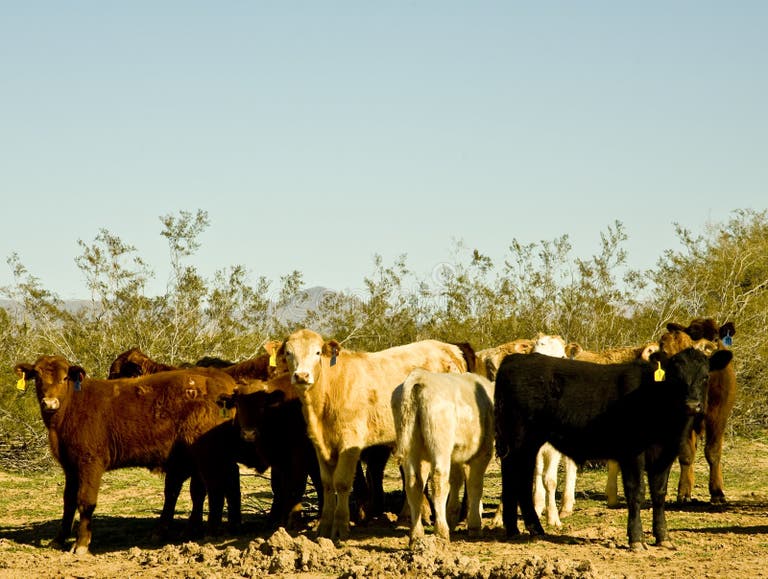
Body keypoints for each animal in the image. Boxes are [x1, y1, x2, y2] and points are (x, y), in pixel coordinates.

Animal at [14, 356, 240, 554]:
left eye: (64, 378)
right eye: (38, 377)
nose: (50, 403)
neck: (69, 410)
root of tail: (224, 381)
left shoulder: (90, 462)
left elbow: (85, 501)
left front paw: (81, 543)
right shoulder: (70, 466)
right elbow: (68, 501)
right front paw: (59, 539)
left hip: (208, 455)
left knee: (215, 488)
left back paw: (211, 532)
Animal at [279, 328, 470, 540]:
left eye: (317, 353)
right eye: (288, 353)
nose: (301, 376)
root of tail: (450, 350)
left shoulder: (350, 442)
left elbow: (342, 483)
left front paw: (340, 528)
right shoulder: (320, 445)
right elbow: (327, 484)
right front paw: (323, 528)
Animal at [392, 369, 494, 547]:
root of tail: (420, 378)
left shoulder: (455, 455)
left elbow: (456, 480)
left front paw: (453, 517)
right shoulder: (482, 454)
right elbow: (475, 486)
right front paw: (475, 525)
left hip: (411, 447)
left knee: (413, 483)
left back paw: (416, 535)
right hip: (440, 445)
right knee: (439, 481)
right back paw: (441, 532)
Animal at [494, 347, 732, 551]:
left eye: (705, 377)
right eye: (675, 378)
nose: (692, 405)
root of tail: (514, 359)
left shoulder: (665, 453)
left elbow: (659, 493)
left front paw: (663, 538)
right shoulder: (633, 453)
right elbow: (636, 493)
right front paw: (636, 540)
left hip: (527, 443)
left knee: (519, 480)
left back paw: (524, 529)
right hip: (520, 439)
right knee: (515, 478)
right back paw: (522, 528)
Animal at [660, 318, 737, 504]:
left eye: (716, 338)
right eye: (692, 337)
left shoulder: (718, 416)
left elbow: (713, 452)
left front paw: (717, 492)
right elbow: (687, 454)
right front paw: (683, 492)